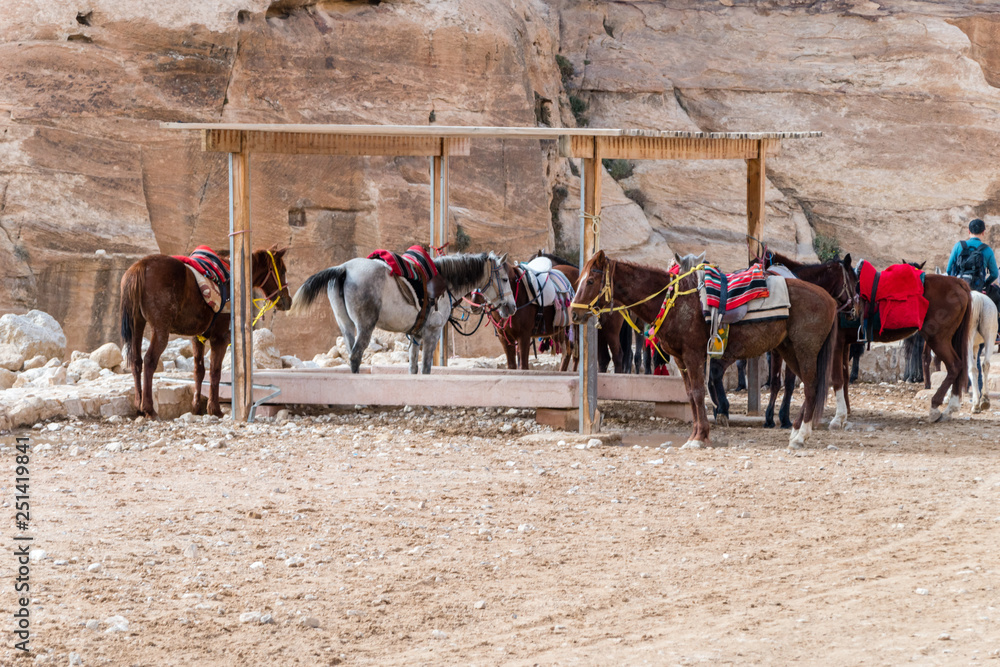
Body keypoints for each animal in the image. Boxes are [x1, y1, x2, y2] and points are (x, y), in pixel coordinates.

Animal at [120, 246, 292, 418]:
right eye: (283, 270)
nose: (288, 301)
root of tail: (140, 266)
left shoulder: (197, 337)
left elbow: (199, 371)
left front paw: (196, 407)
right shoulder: (220, 338)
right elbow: (215, 372)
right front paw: (214, 409)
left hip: (137, 324)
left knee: (136, 361)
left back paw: (139, 406)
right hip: (161, 329)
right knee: (149, 361)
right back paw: (149, 408)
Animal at [290, 251, 514, 374]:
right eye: (504, 279)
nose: (511, 307)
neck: (445, 282)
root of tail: (343, 268)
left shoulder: (415, 335)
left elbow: (413, 368)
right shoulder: (432, 333)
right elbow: (425, 369)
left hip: (346, 325)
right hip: (365, 326)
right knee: (355, 356)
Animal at [572, 250, 838, 449]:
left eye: (591, 281)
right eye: (579, 280)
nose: (574, 313)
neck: (676, 302)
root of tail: (829, 299)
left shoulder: (693, 355)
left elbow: (700, 392)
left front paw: (700, 437)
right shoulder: (680, 359)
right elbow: (691, 394)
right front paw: (697, 433)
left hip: (805, 351)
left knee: (811, 386)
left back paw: (801, 436)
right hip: (788, 350)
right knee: (810, 386)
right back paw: (796, 430)